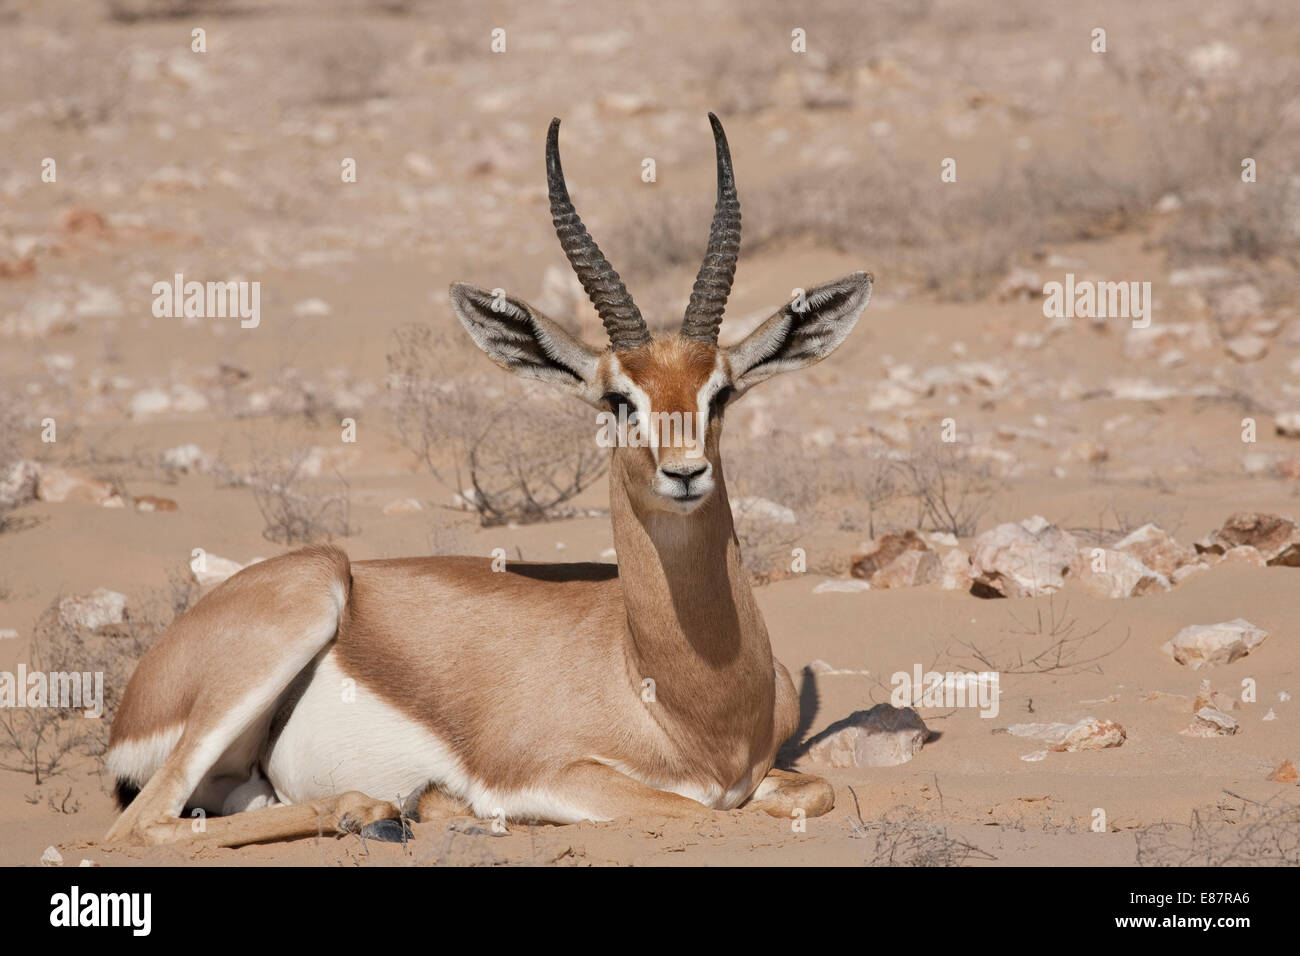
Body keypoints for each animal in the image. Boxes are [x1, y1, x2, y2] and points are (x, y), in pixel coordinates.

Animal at [103, 113, 873, 847]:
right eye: (617, 399)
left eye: (722, 393)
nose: (685, 473)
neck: (679, 701)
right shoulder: (548, 775)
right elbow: (698, 811)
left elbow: (813, 791)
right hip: (302, 604)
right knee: (139, 825)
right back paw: (384, 809)